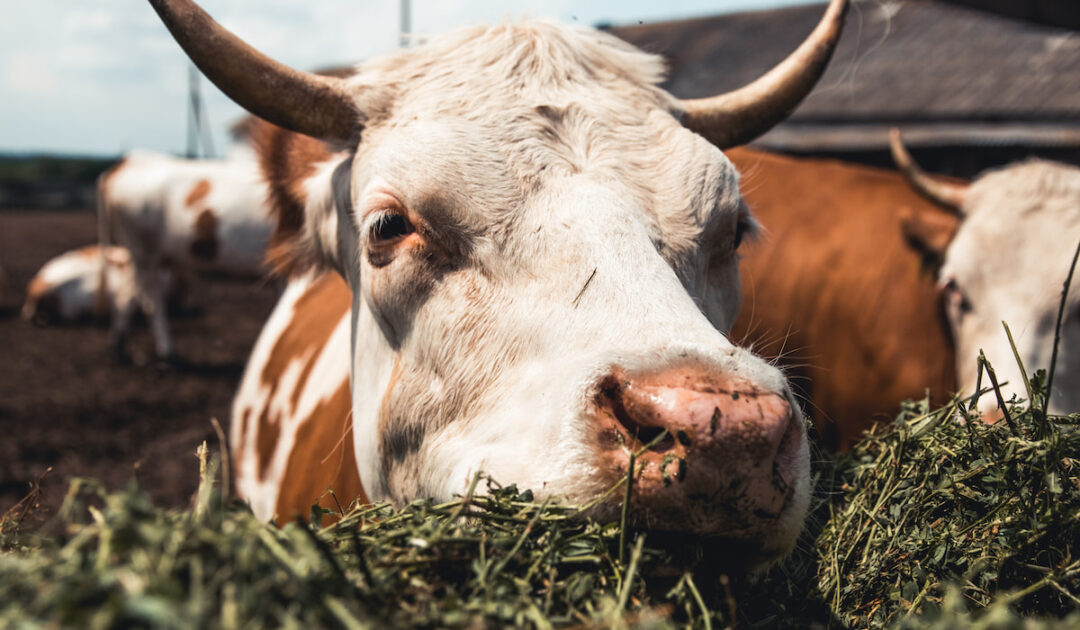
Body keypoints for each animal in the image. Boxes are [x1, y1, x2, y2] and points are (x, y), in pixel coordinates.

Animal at [98, 150, 272, 359]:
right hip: (143, 251)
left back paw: (120, 344)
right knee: (150, 300)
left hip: (144, 256)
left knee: (126, 295)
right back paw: (166, 350)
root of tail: (129, 160)